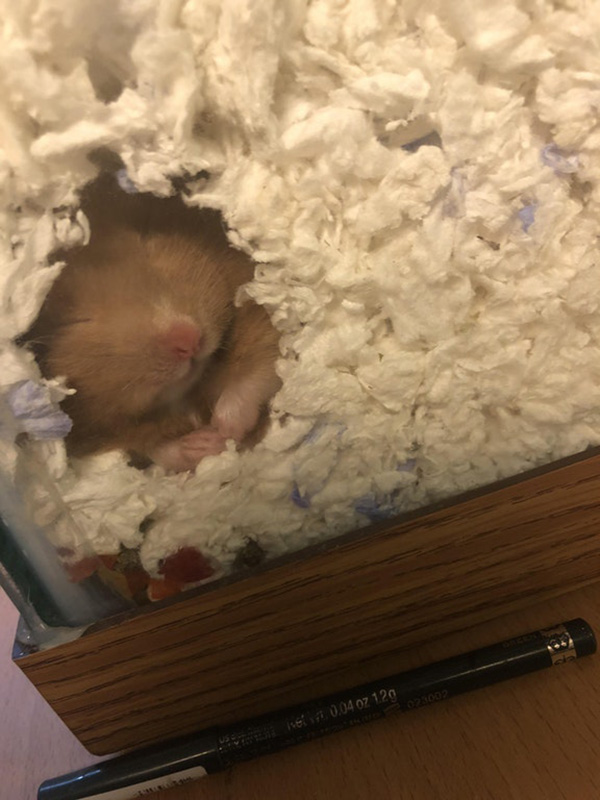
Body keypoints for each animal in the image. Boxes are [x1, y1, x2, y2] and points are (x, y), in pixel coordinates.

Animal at [25, 174, 281, 472]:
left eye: (146, 236)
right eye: (74, 321)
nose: (188, 341)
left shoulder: (256, 302)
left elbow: (258, 370)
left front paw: (223, 429)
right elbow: (154, 449)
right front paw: (203, 444)